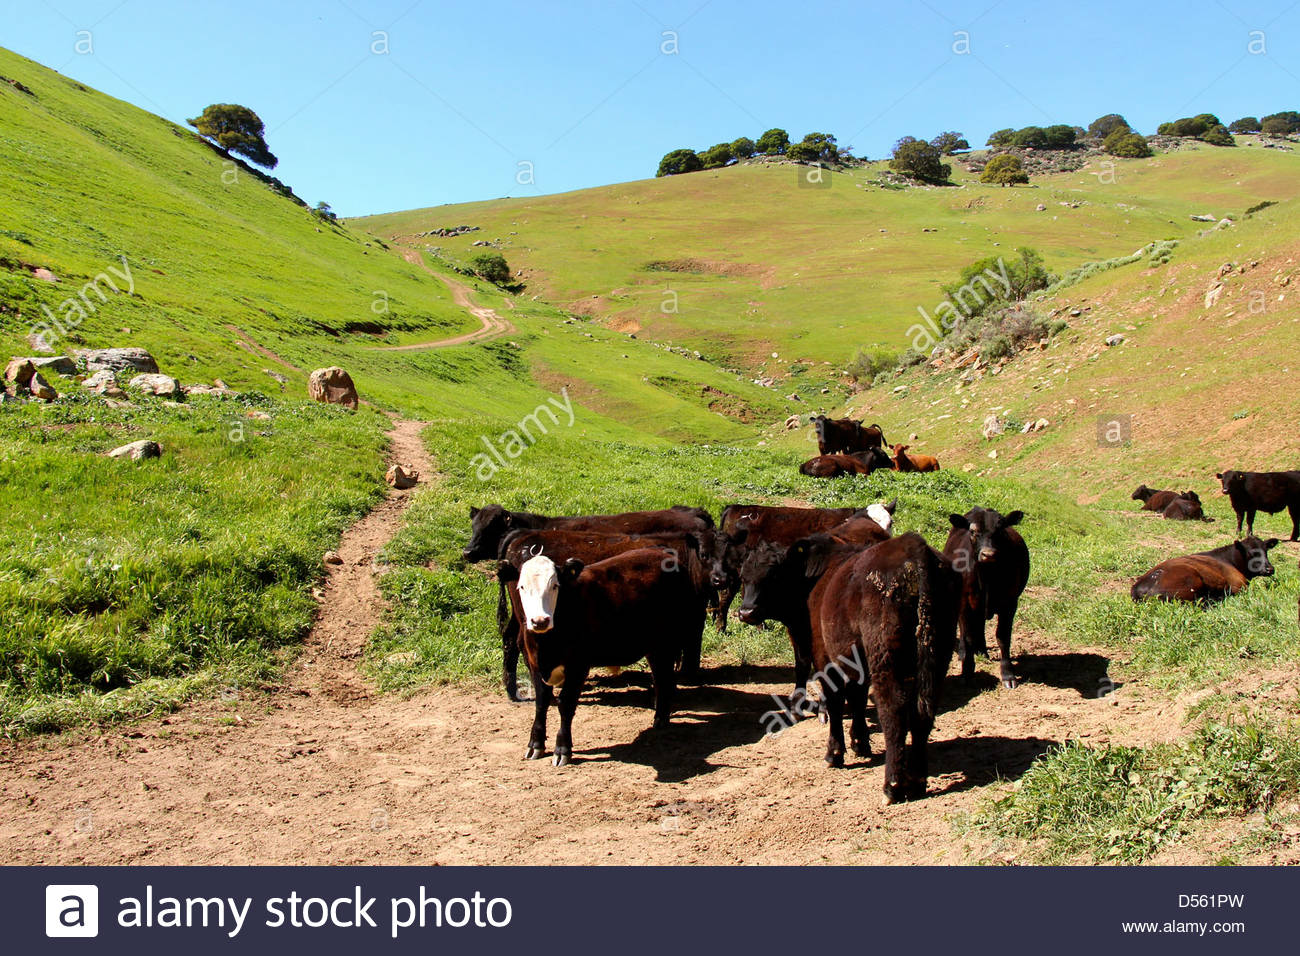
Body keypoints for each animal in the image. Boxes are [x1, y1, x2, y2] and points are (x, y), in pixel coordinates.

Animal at [495, 548, 706, 766]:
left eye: (555, 585)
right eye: (521, 586)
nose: (539, 621)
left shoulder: (578, 666)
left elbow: (566, 704)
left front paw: (562, 749)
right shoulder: (535, 663)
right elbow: (541, 703)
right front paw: (535, 744)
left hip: (668, 642)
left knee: (665, 677)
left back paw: (662, 718)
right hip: (654, 646)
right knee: (661, 677)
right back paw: (661, 715)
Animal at [740, 531, 960, 803]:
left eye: (773, 575)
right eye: (743, 576)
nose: (745, 611)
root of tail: (914, 548)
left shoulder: (824, 656)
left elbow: (835, 702)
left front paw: (835, 752)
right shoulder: (856, 660)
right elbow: (857, 698)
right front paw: (860, 741)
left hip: (885, 657)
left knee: (894, 711)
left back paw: (893, 785)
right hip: (935, 656)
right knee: (923, 710)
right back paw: (918, 781)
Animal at [942, 507, 1030, 690]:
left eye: (1000, 530)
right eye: (973, 531)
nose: (988, 554)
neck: (986, 576)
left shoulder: (1010, 603)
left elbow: (1003, 636)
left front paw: (1008, 674)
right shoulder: (965, 603)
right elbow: (968, 635)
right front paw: (967, 672)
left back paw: (982, 650)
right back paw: (964, 652)